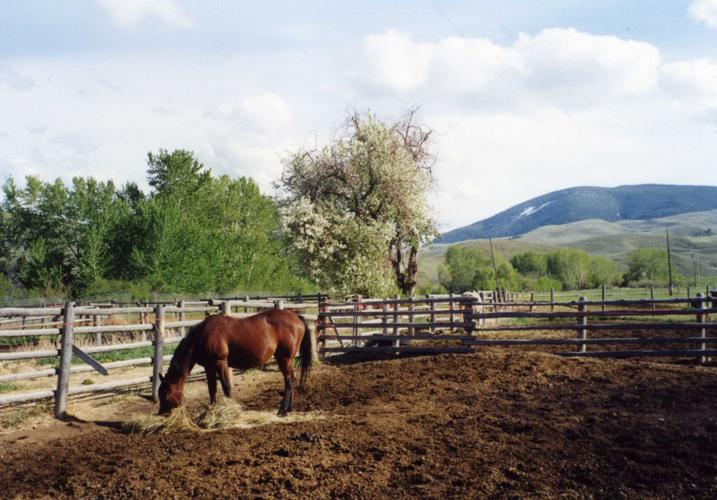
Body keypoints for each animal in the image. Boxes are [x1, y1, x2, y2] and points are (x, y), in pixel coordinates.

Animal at [158, 309, 313, 416]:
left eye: (165, 395)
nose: (162, 413)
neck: (202, 336)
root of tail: (296, 317)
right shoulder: (209, 366)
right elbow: (212, 389)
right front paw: (212, 411)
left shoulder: (221, 362)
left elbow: (226, 387)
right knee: (291, 379)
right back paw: (289, 408)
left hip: (284, 358)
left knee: (289, 380)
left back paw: (282, 410)